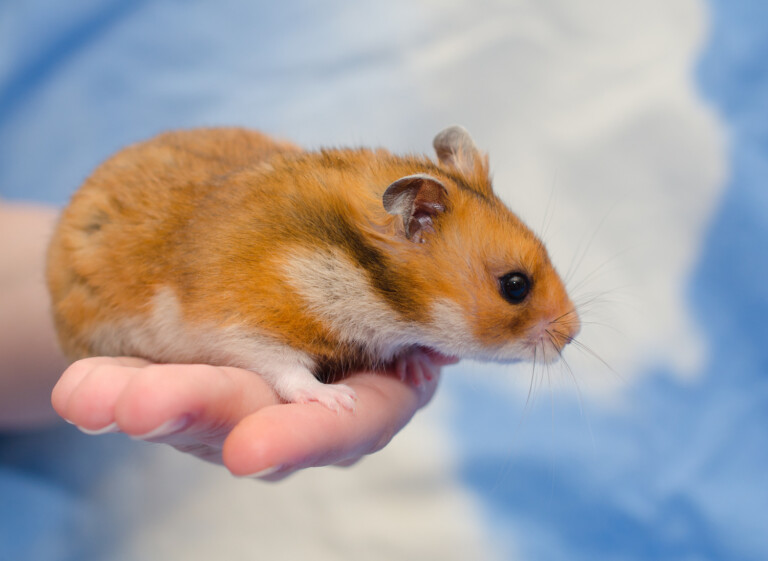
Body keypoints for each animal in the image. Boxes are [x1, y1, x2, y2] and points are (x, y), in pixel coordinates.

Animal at [47, 126, 580, 411]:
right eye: (515, 286)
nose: (572, 334)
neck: (362, 274)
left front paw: (415, 366)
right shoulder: (237, 326)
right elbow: (284, 367)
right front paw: (338, 401)